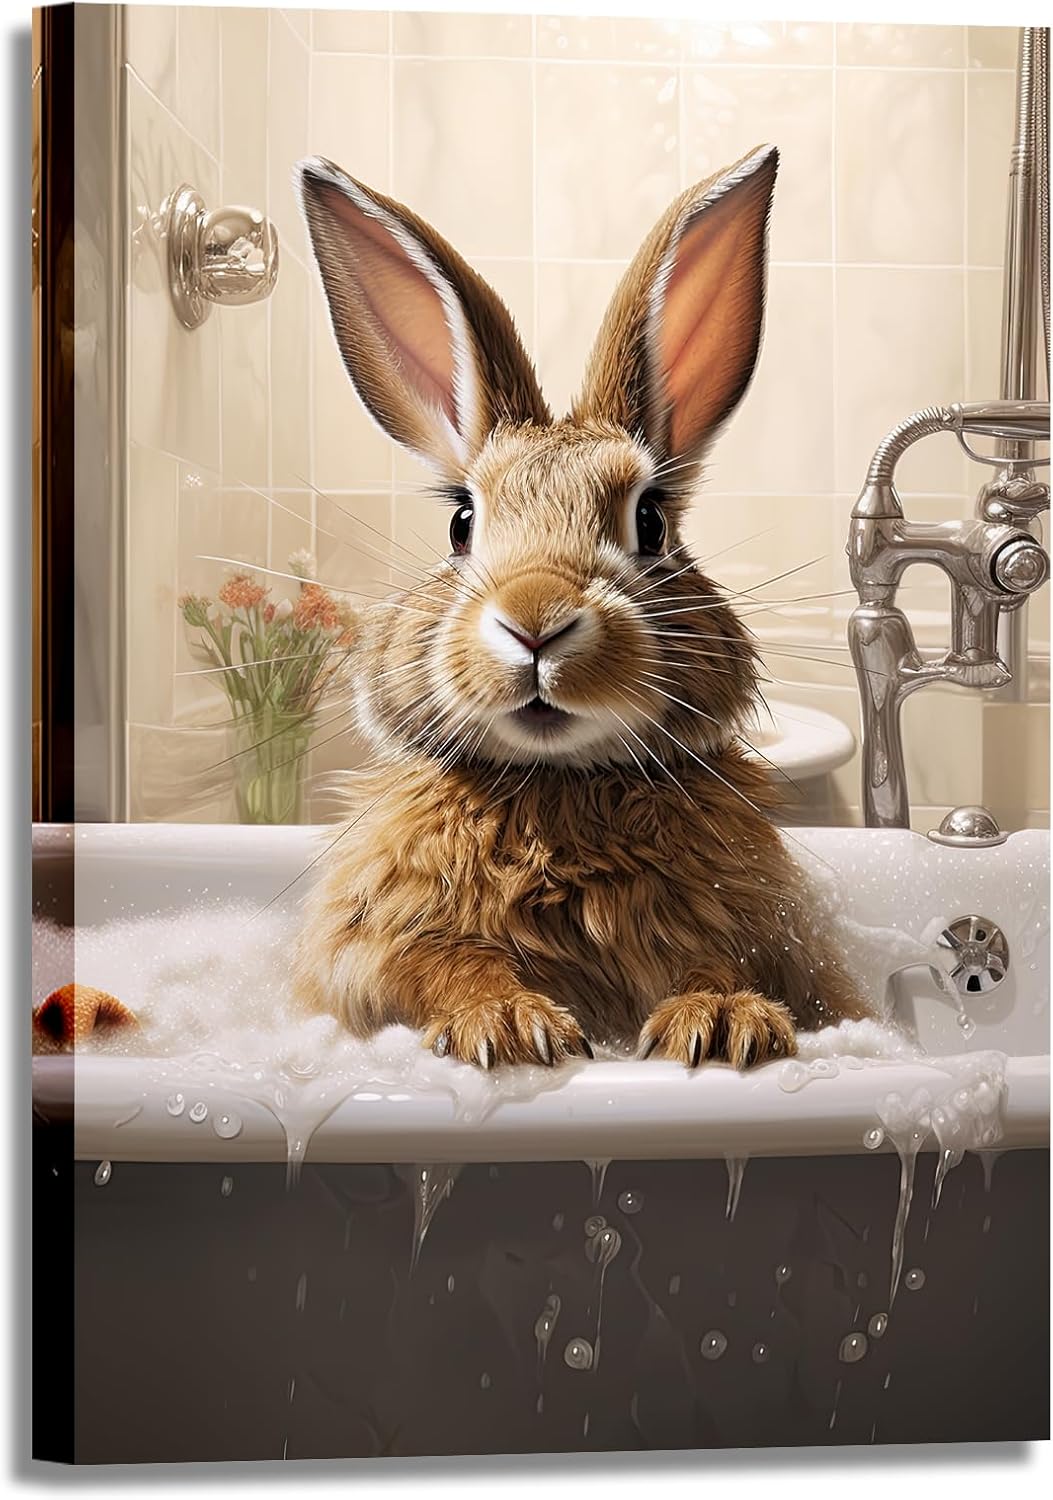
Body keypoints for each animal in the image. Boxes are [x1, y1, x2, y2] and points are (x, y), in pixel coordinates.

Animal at [292, 143, 864, 1071]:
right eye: (460, 522)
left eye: (650, 521)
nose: (535, 619)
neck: (557, 789)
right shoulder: (376, 945)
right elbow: (445, 964)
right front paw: (507, 1024)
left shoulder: (752, 929)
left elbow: (712, 962)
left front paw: (721, 1023)